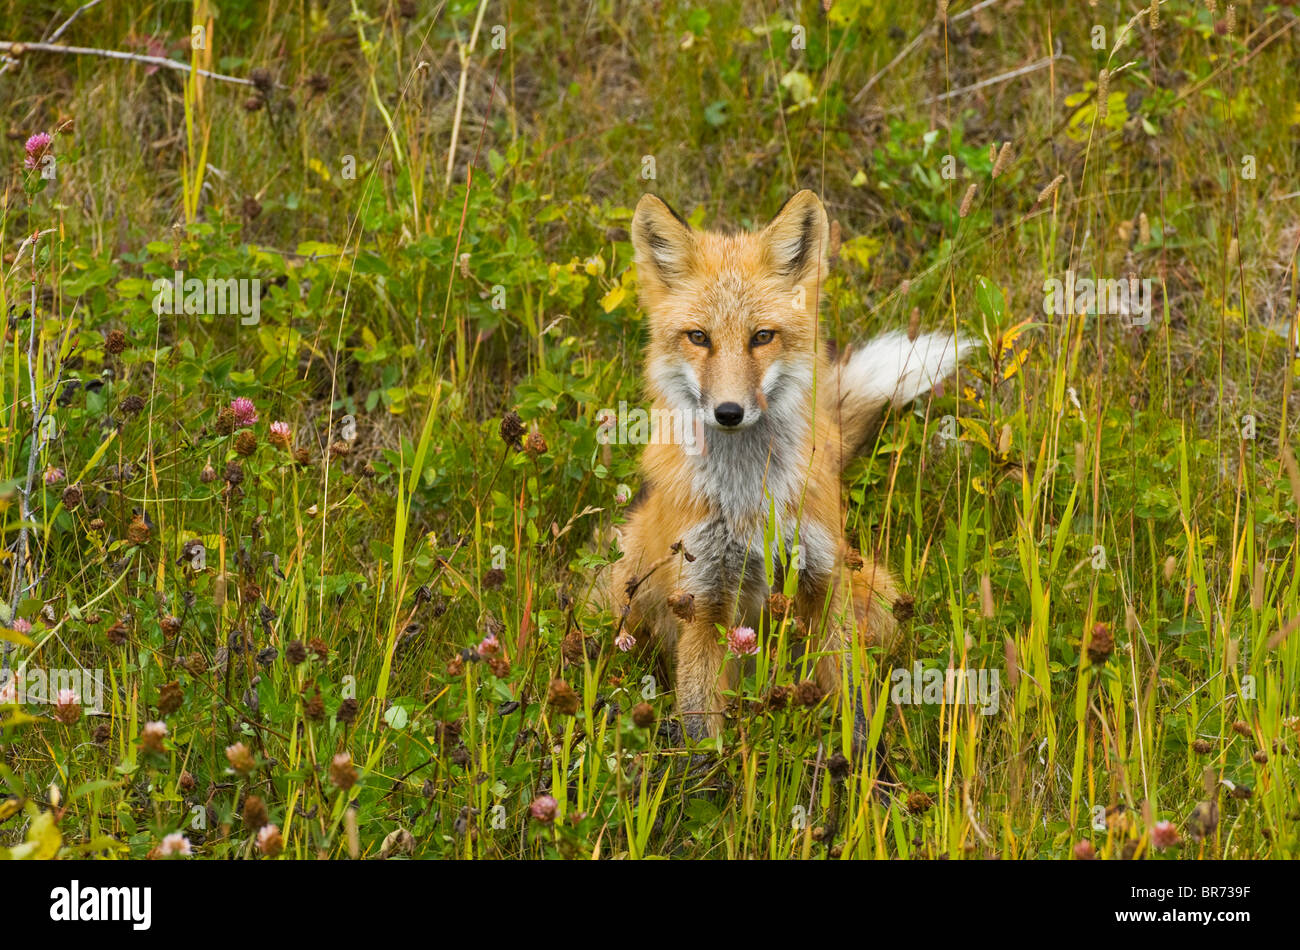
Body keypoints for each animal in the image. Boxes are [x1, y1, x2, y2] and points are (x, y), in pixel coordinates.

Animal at [606, 189, 968, 746]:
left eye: (762, 337)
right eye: (698, 337)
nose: (728, 412)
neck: (749, 501)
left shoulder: (823, 583)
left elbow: (854, 704)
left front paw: (861, 767)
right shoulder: (703, 601)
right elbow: (700, 728)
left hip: (875, 596)